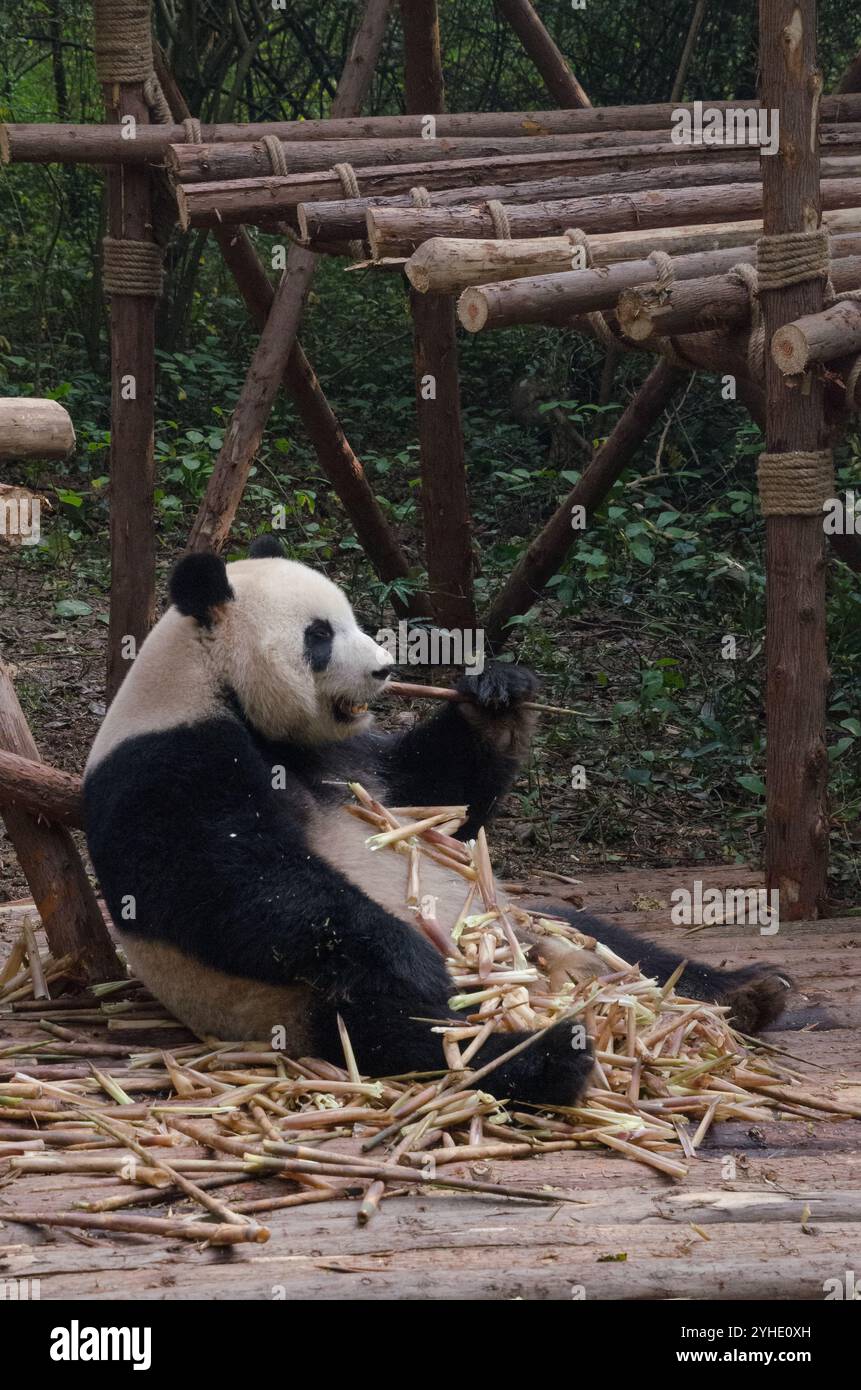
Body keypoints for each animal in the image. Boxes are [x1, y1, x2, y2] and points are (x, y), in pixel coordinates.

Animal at [83, 537, 788, 1107]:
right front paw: (409, 952)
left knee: (618, 946)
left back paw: (747, 989)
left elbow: (437, 799)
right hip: (290, 1002)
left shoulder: (351, 761)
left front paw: (496, 693)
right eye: (319, 635)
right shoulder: (165, 760)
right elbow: (222, 882)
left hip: (517, 920)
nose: (384, 669)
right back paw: (552, 1057)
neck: (211, 683)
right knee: (412, 1035)